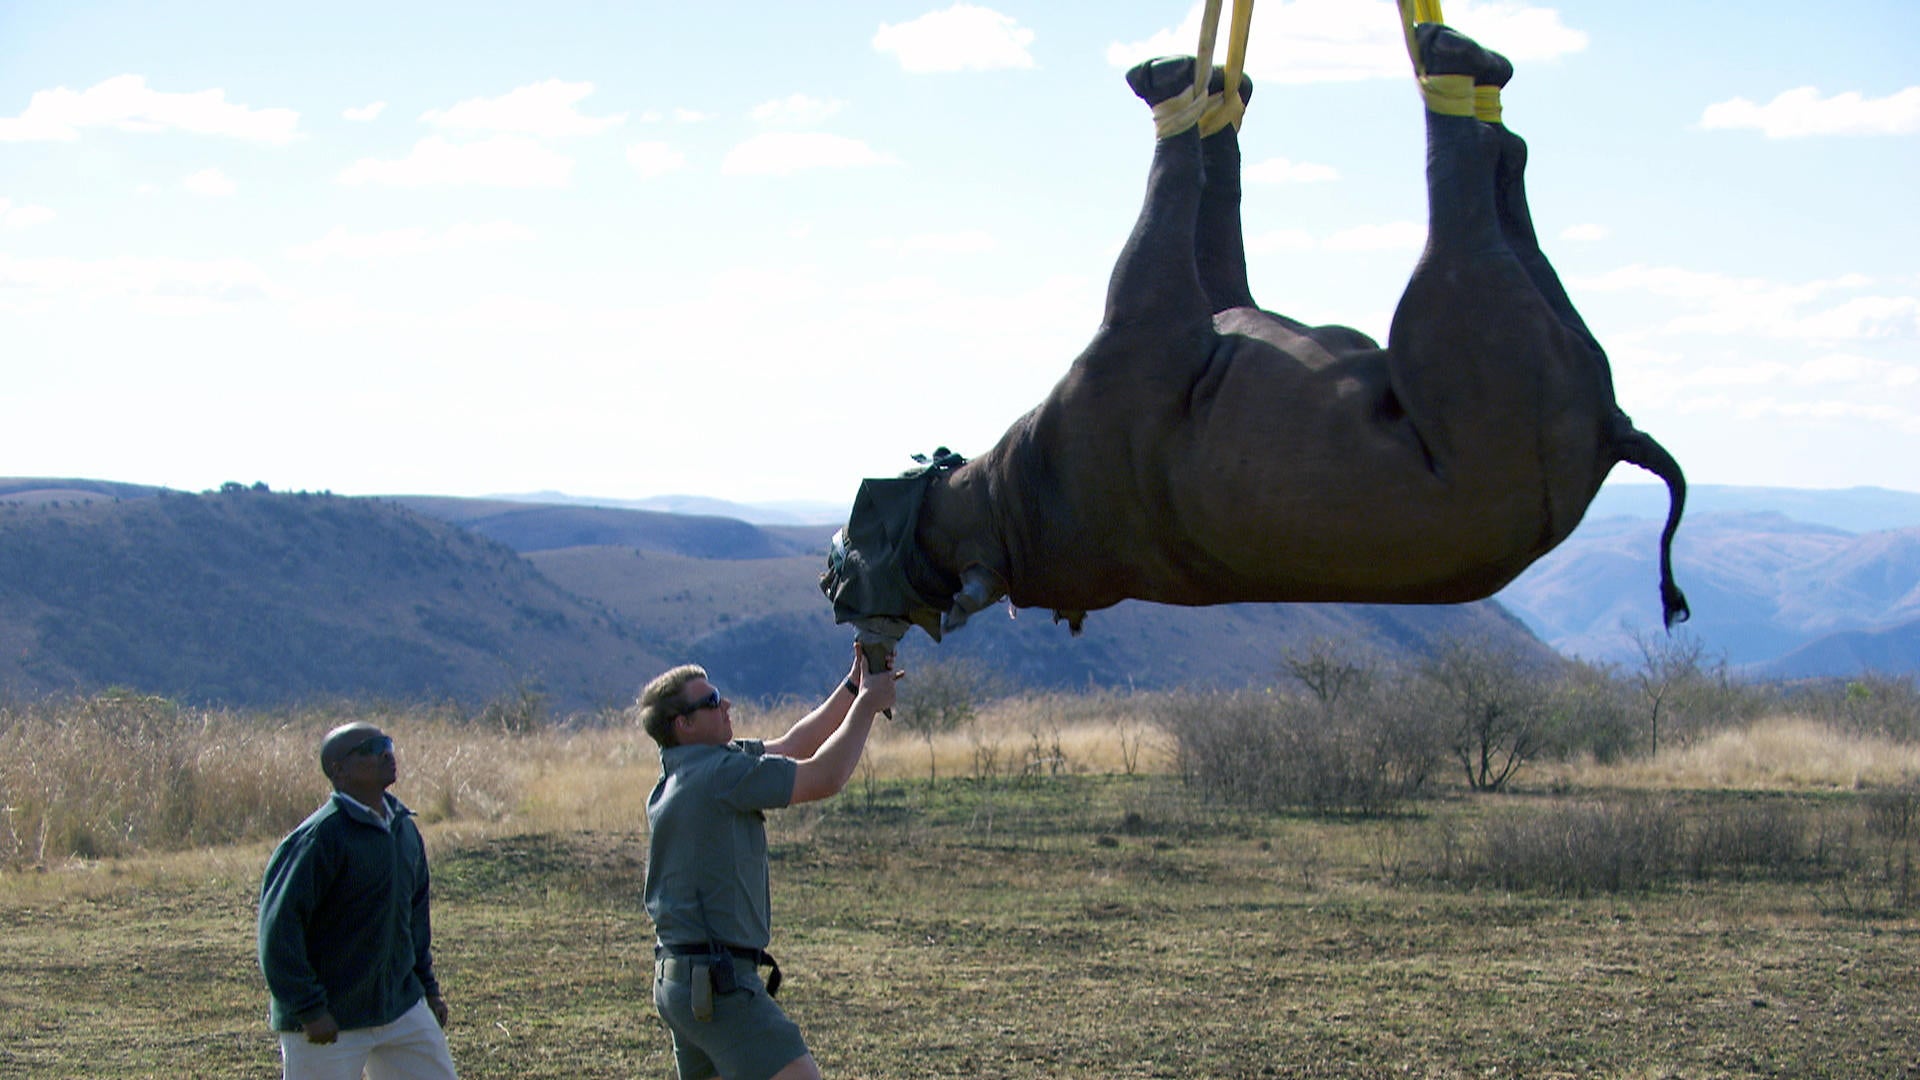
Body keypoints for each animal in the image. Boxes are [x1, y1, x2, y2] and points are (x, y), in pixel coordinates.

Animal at [822, 24, 1688, 663]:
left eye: (859, 549)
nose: (831, 578)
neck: (1008, 500)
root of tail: (1613, 432)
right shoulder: (1146, 318)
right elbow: (1178, 197)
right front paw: (1185, 91)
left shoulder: (1195, 310)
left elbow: (1217, 224)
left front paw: (1214, 91)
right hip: (1470, 322)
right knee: (1472, 190)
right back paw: (1456, 69)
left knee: (1506, 161)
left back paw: (1471, 74)